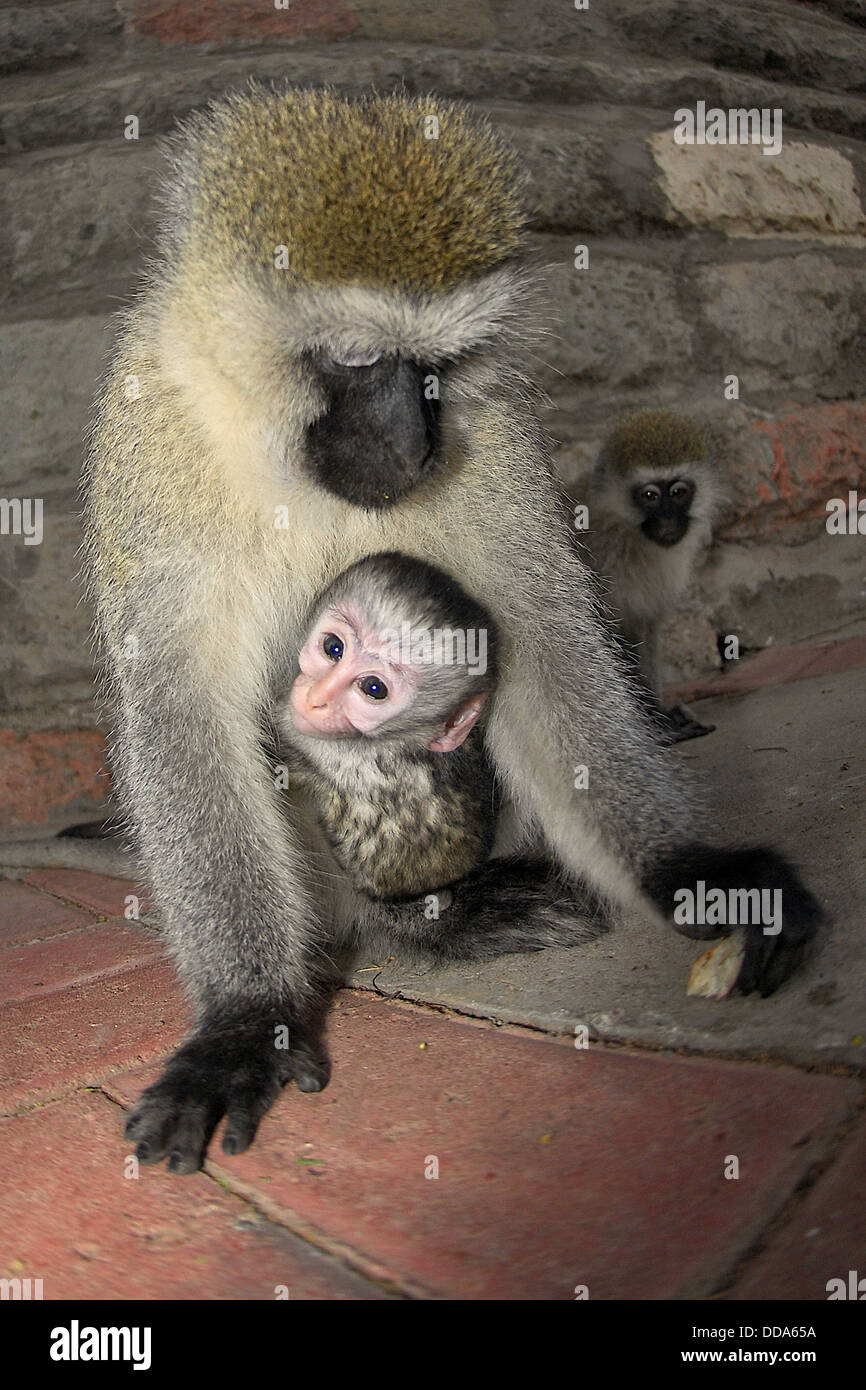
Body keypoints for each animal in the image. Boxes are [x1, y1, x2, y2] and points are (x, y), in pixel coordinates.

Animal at [585, 409, 723, 743]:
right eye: (650, 496)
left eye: (678, 493)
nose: (668, 520)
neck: (628, 536)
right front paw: (655, 722)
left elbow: (645, 627)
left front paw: (661, 715)